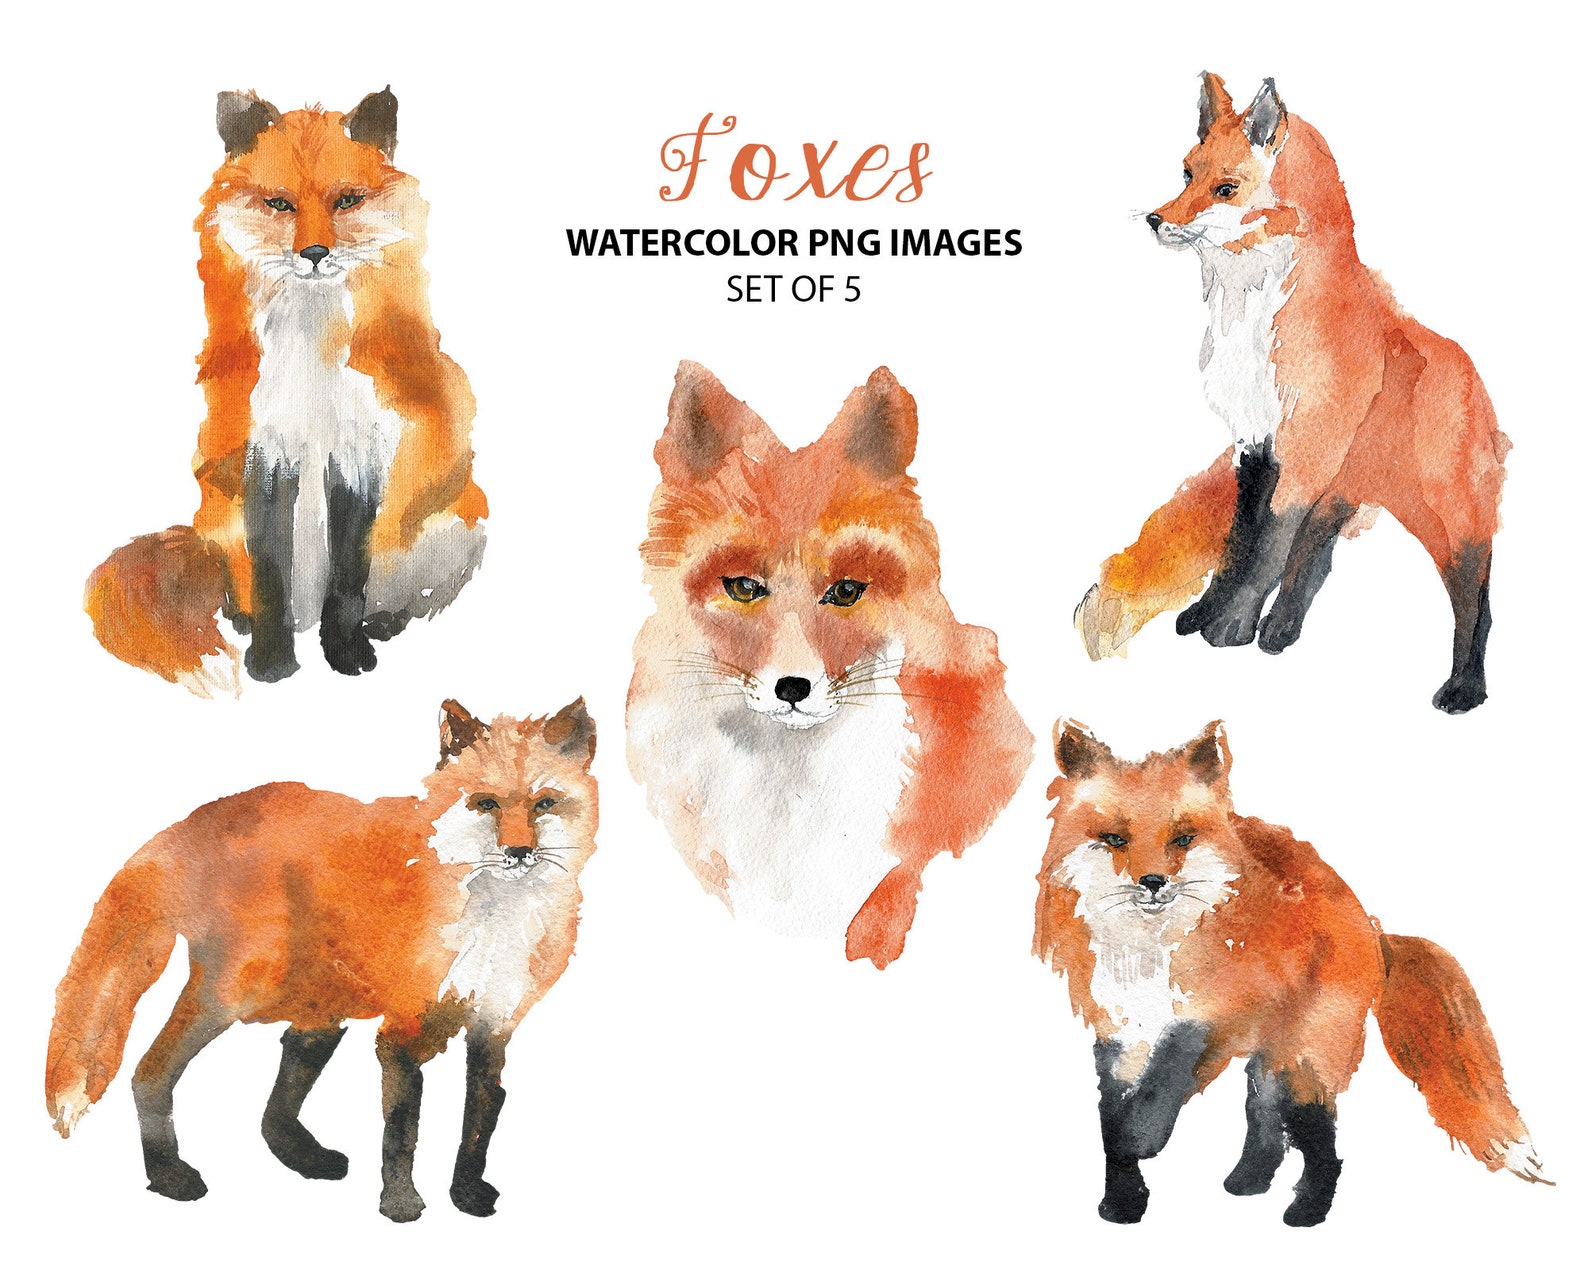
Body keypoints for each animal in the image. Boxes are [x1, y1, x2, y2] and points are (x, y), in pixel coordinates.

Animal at [45, 698, 597, 1222]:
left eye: (545, 804)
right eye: (486, 804)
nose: (519, 852)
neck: (492, 918)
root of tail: (203, 816)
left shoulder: (492, 1026)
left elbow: (478, 1126)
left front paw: (465, 1195)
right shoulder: (402, 1032)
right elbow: (401, 1133)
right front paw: (400, 1205)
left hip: (320, 998)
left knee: (277, 1100)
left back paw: (302, 1157)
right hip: (238, 991)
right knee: (148, 1073)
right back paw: (168, 1176)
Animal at [85, 88, 488, 694]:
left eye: (347, 201)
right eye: (280, 205)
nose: (315, 253)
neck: (312, 371)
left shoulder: (362, 454)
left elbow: (348, 578)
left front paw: (344, 652)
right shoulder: (264, 453)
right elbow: (271, 571)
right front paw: (273, 661)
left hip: (456, 528)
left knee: (399, 594)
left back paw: (382, 622)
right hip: (224, 520)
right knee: (249, 587)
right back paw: (249, 620)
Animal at [1033, 718, 1547, 1226]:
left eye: (1182, 839)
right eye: (1114, 839)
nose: (1154, 883)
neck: (1148, 955)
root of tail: (1374, 927)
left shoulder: (1208, 1014)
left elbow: (1157, 1091)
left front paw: (1144, 1139)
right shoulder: (1117, 1033)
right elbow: (1111, 1124)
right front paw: (1122, 1202)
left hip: (1305, 1062)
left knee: (1322, 1145)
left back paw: (1307, 1211)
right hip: (1270, 1065)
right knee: (1266, 1127)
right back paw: (1247, 1184)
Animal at [1074, 74, 1509, 713]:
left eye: (1225, 188)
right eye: (1186, 173)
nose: (1155, 219)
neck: (1250, 326)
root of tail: (1473, 371)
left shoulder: (1301, 451)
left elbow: (1269, 549)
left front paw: (1228, 630)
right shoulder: (1256, 444)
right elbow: (1241, 544)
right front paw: (1207, 616)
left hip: (1446, 516)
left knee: (1475, 597)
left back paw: (1464, 688)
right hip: (1342, 488)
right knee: (1317, 557)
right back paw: (1280, 632)